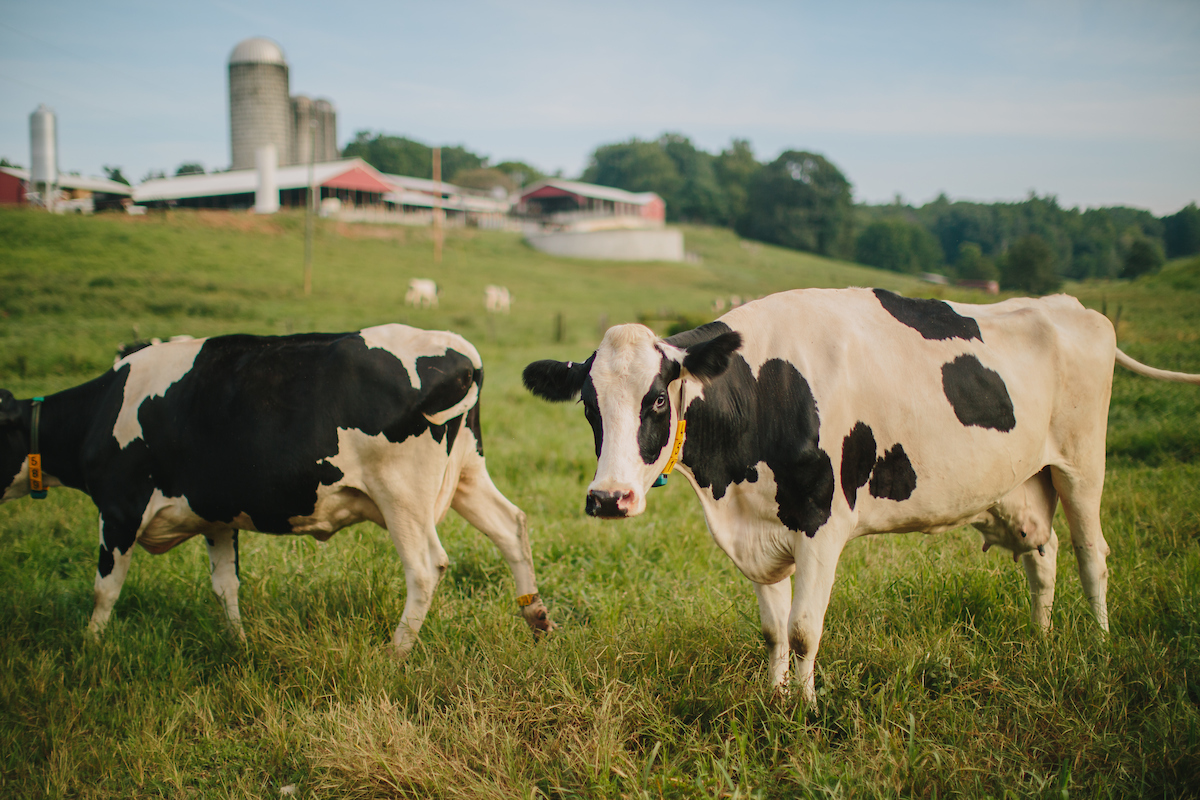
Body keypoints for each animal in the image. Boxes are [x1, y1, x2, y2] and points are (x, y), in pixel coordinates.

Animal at [0, 324, 554, 652]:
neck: (101, 409)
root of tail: (459, 352)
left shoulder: (118, 508)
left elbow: (104, 588)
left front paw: (90, 647)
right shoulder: (216, 515)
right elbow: (226, 585)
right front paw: (239, 644)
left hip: (402, 495)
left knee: (425, 567)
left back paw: (395, 654)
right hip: (467, 473)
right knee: (511, 526)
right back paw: (536, 617)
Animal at [522, 288, 1200, 703]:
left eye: (658, 400)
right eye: (589, 405)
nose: (608, 498)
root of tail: (1074, 307)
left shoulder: (821, 521)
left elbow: (802, 630)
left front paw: (805, 708)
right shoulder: (757, 527)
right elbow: (772, 630)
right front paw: (773, 696)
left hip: (1081, 464)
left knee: (1092, 555)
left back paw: (1099, 646)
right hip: (1019, 485)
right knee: (1044, 554)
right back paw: (1041, 639)